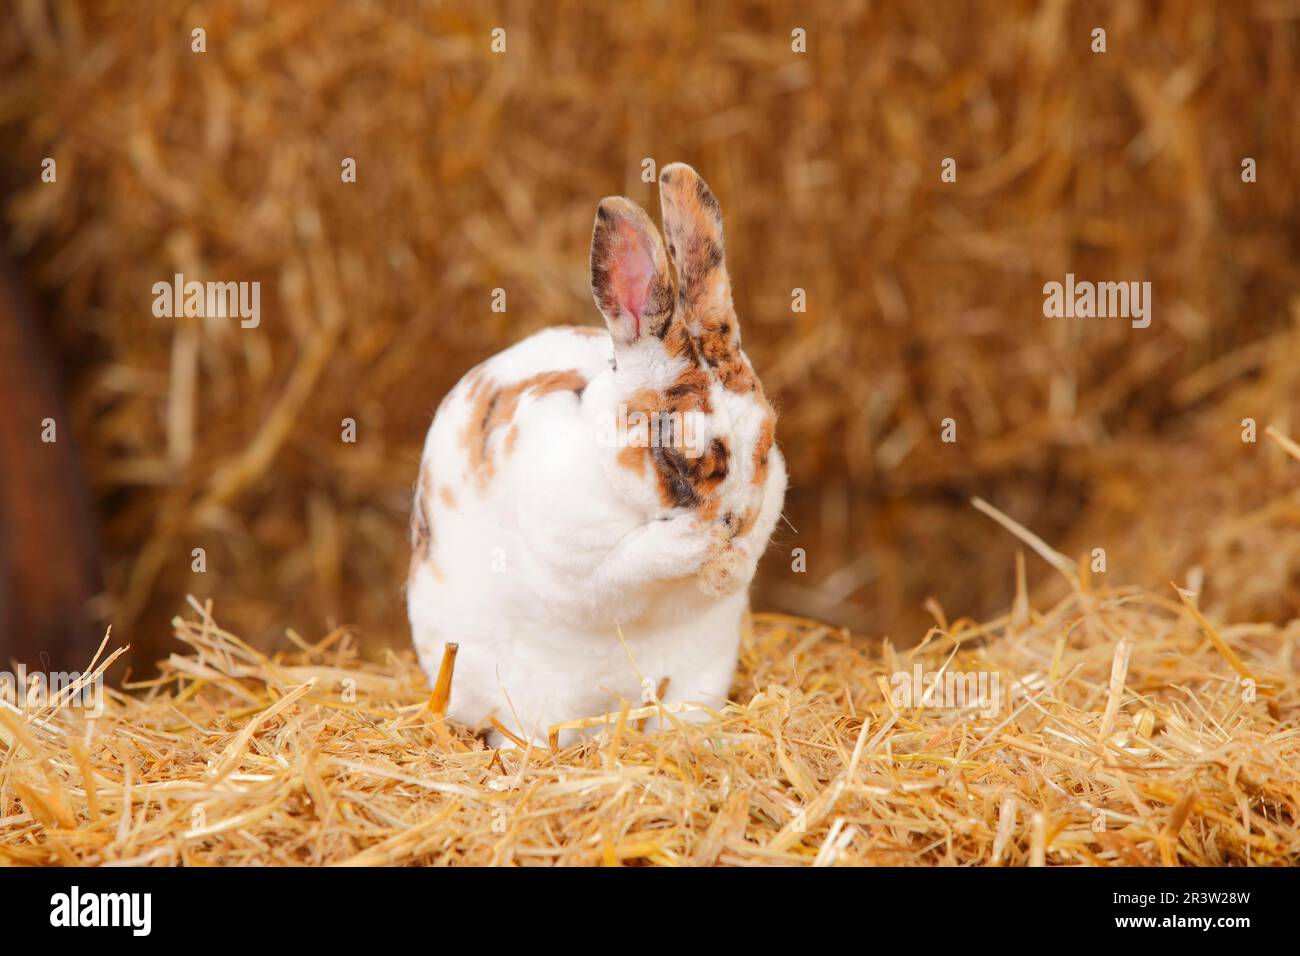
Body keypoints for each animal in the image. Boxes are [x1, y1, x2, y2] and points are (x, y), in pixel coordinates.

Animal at [407, 163, 786, 747]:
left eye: (766, 438)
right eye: (674, 446)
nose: (734, 521)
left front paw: (728, 564)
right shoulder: (582, 556)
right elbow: (633, 560)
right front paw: (699, 545)